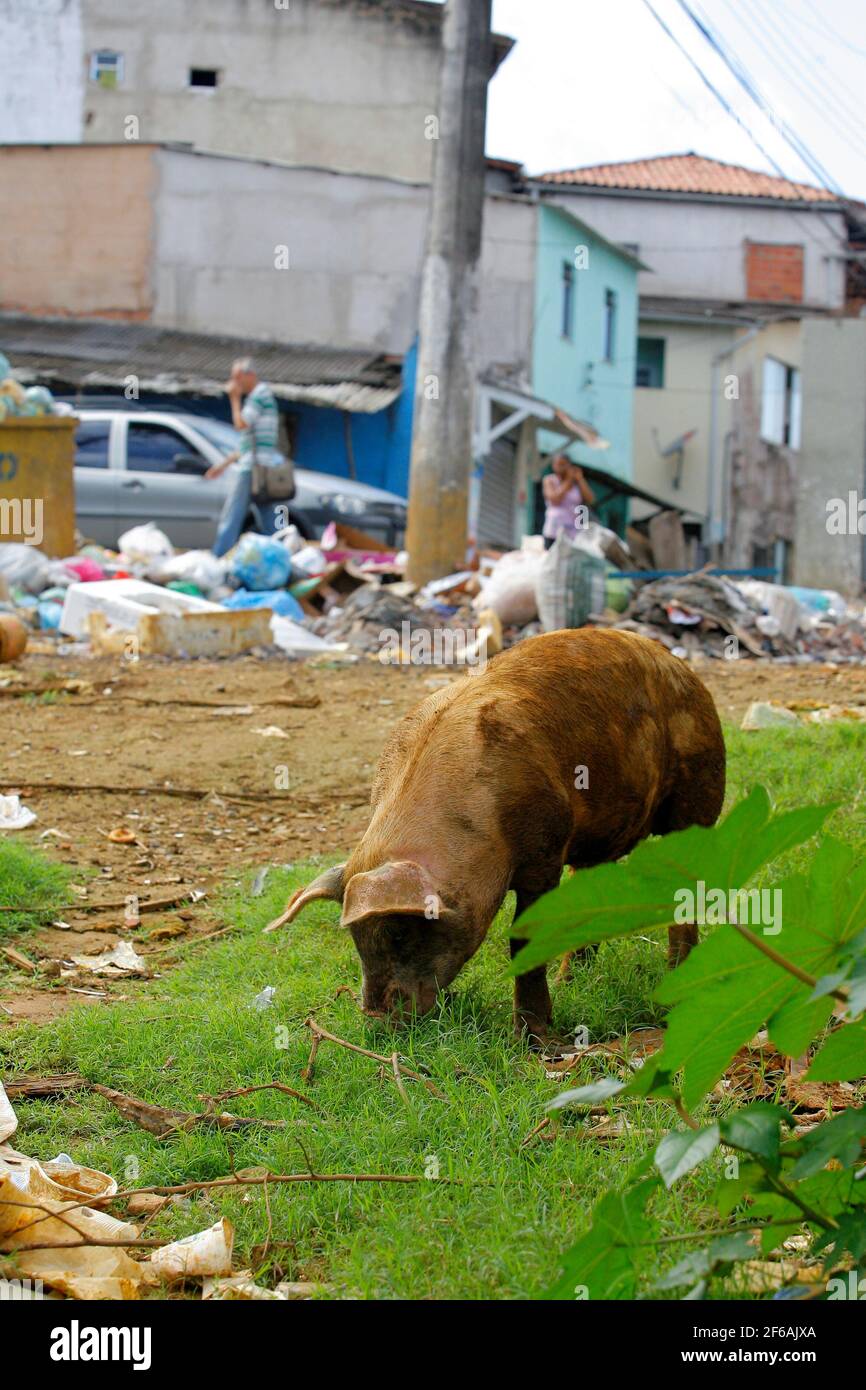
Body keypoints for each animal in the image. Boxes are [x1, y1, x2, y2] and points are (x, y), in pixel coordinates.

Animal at [265, 628, 725, 1039]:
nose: (377, 1021)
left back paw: (678, 975)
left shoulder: (545, 852)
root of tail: (676, 663)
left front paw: (532, 1038)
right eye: (355, 939)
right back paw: (573, 979)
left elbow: (523, 940)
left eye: (399, 931)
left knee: (688, 890)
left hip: (701, 789)